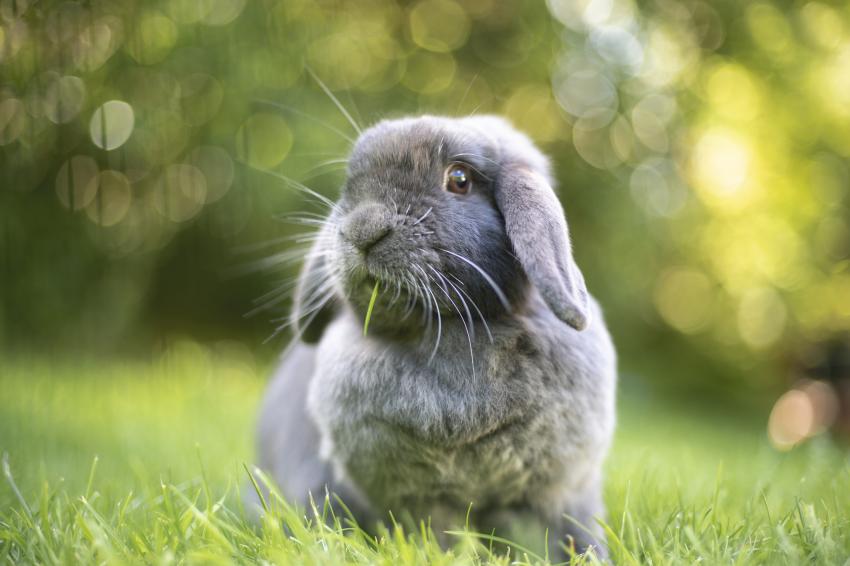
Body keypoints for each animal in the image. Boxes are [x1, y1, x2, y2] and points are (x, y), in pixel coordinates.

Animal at [255, 115, 617, 560]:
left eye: (459, 179)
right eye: (350, 184)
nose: (362, 229)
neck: (451, 328)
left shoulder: (559, 489)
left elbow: (565, 531)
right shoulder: (419, 499)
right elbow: (434, 535)